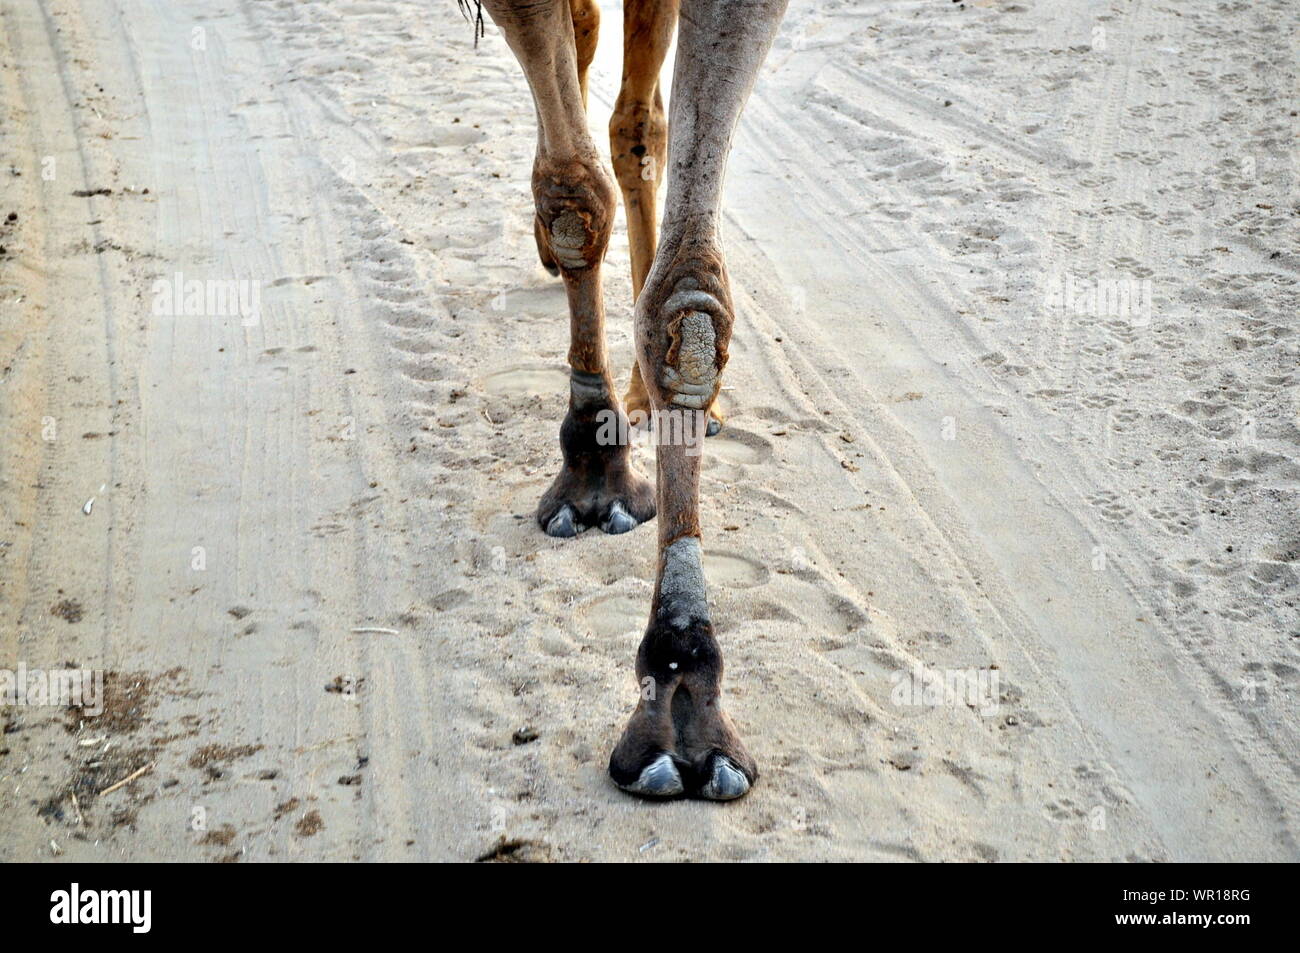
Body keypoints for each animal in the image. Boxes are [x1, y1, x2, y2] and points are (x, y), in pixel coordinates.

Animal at [464, 0, 788, 800]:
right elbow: (571, 193)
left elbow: (687, 298)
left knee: (637, 119)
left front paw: (687, 694)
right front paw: (591, 459)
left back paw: (649, 395)